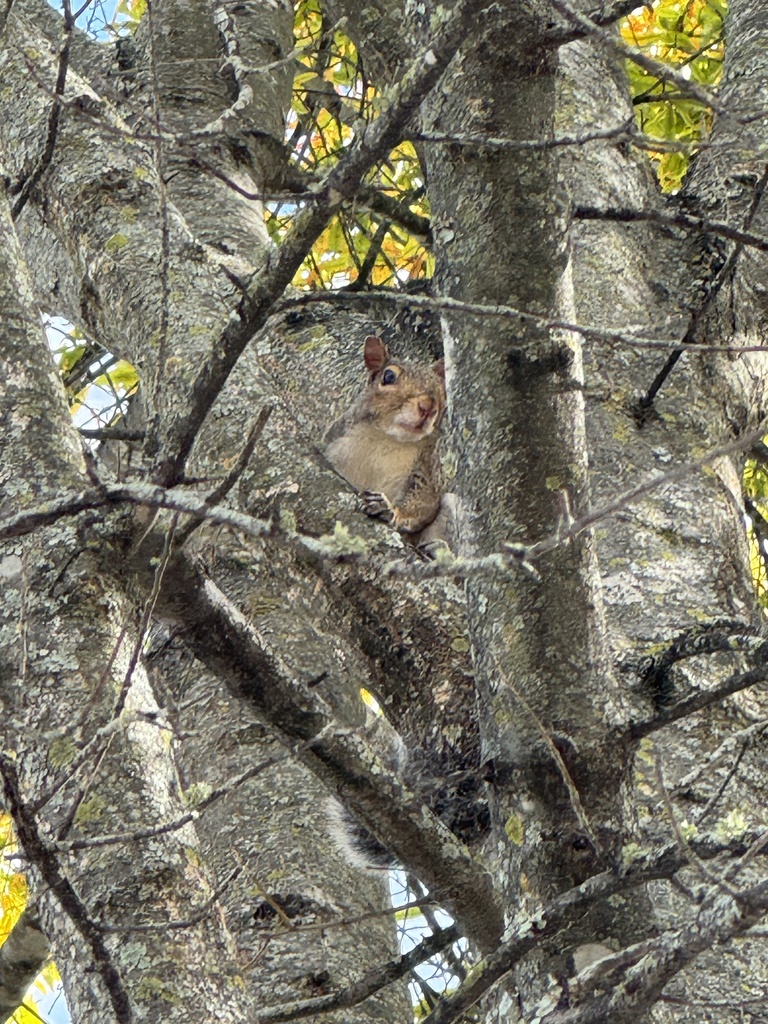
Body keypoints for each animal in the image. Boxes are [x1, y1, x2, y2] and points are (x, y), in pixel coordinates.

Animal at [325, 335, 449, 546]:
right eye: (389, 376)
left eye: (442, 391)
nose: (428, 406)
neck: (388, 440)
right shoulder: (335, 447)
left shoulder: (426, 469)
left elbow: (423, 503)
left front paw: (388, 509)